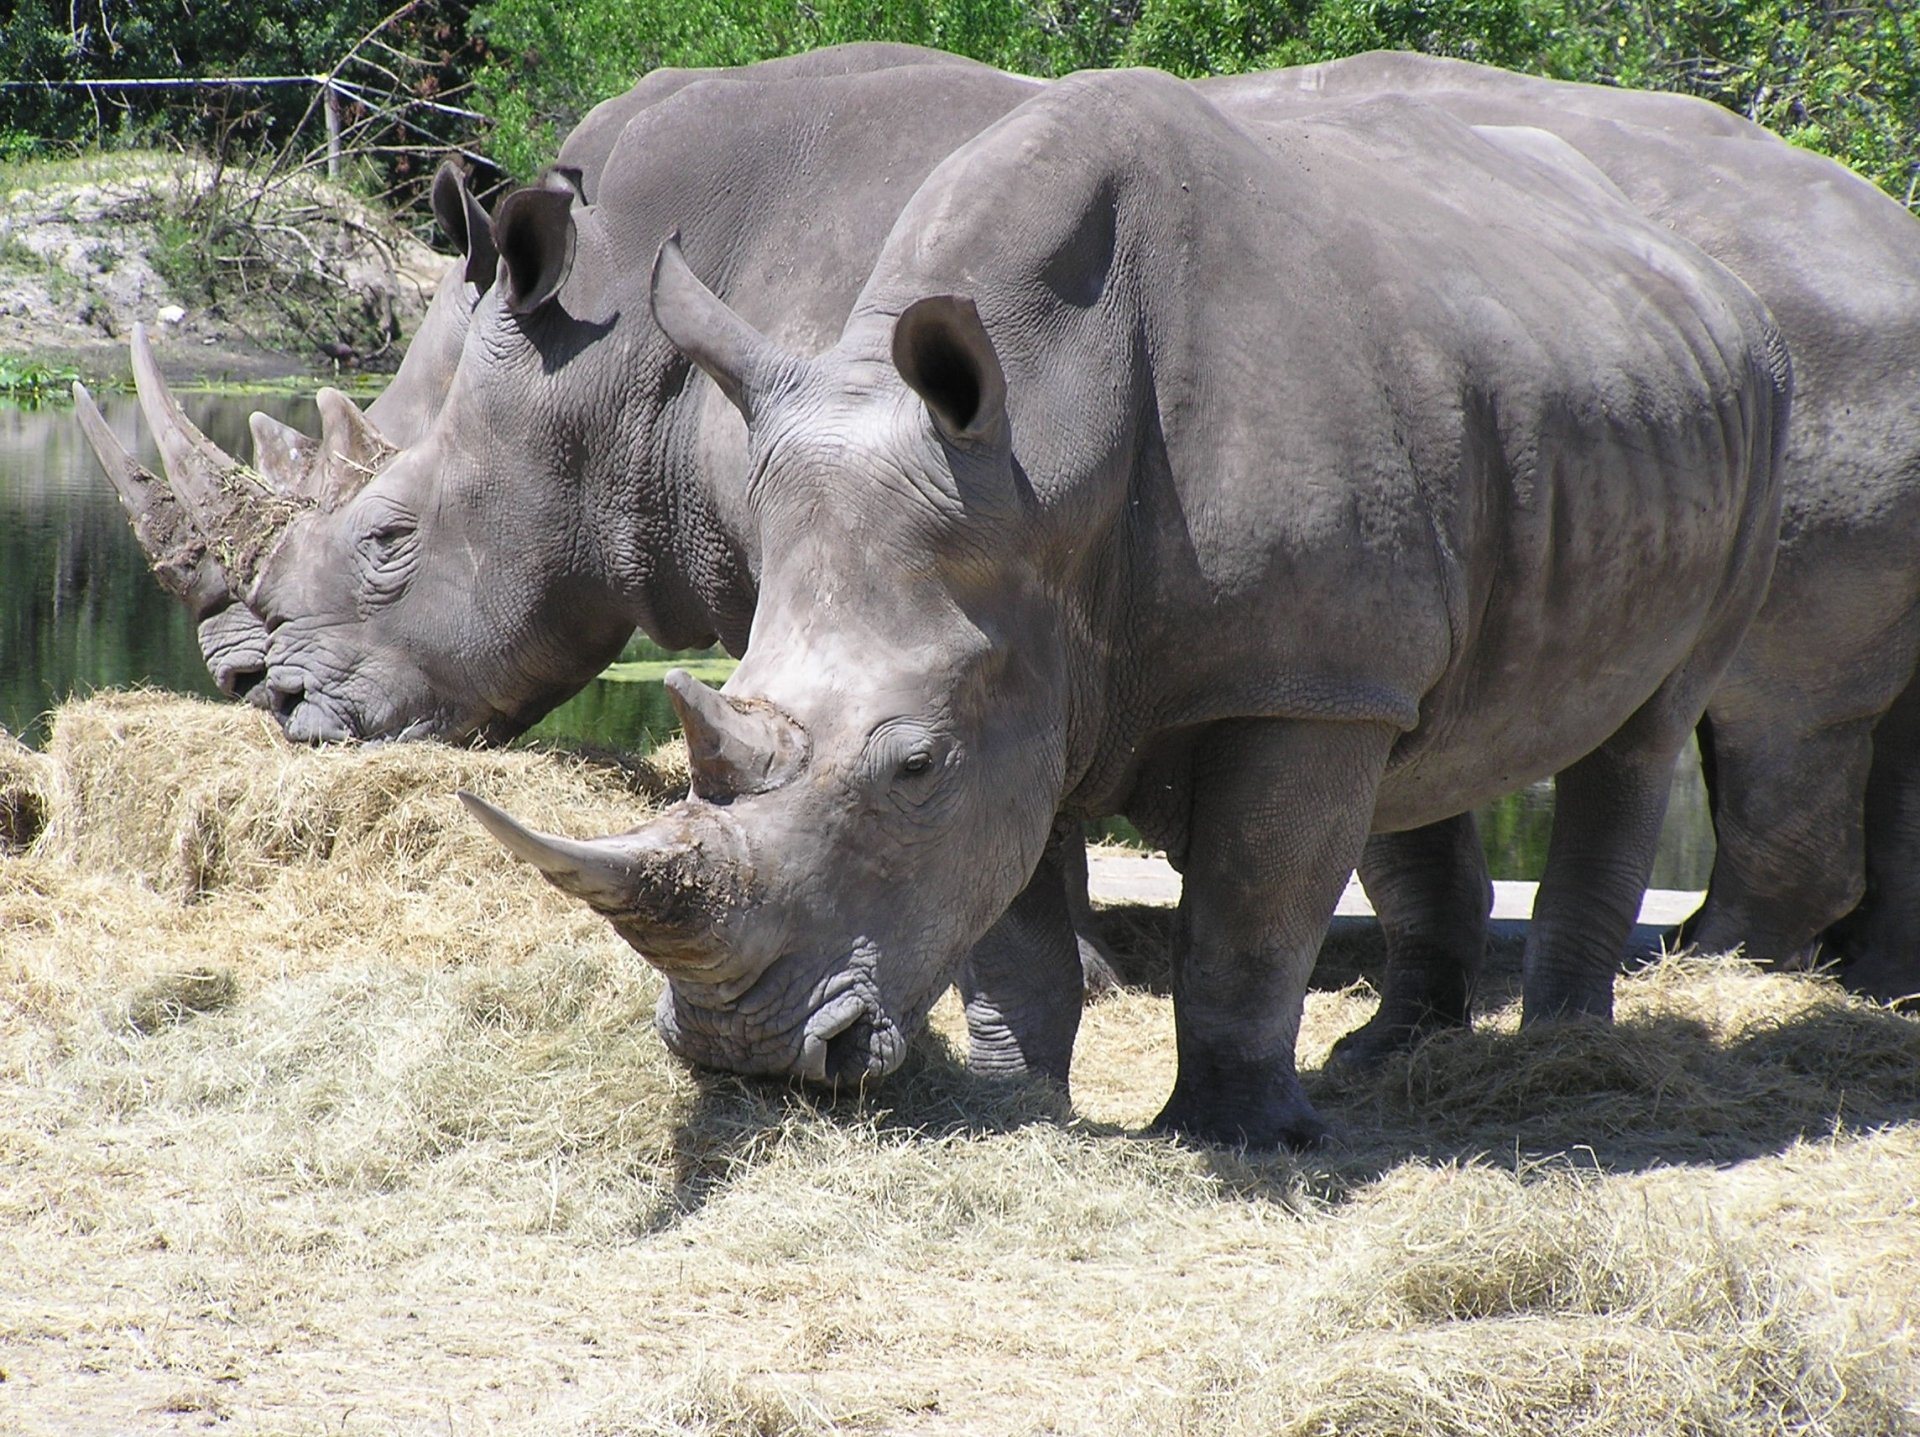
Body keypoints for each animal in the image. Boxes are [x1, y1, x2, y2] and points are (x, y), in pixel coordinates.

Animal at [463, 68, 1788, 1146]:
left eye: (912, 766)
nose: (739, 1052)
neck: (1044, 451)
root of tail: (1699, 266)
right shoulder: (1026, 646)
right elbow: (1012, 922)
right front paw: (1015, 1104)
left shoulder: (1274, 682)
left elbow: (1251, 910)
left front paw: (1238, 1138)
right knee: (1420, 724)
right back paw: (1392, 1054)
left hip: (1765, 403)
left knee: (1642, 731)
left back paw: (1567, 1058)